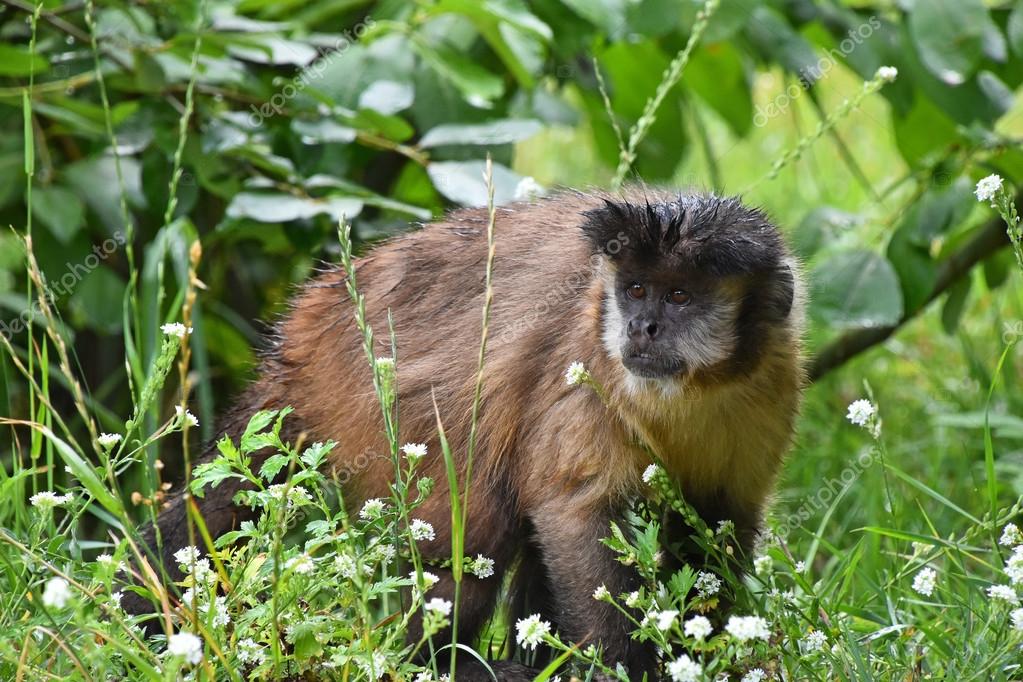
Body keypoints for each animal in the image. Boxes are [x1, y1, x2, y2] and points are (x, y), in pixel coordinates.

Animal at [137, 189, 804, 681]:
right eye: (636, 290)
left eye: (680, 295)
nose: (641, 327)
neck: (689, 393)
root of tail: (306, 331)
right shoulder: (589, 365)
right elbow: (576, 514)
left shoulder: (772, 385)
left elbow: (720, 524)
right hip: (369, 396)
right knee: (478, 520)